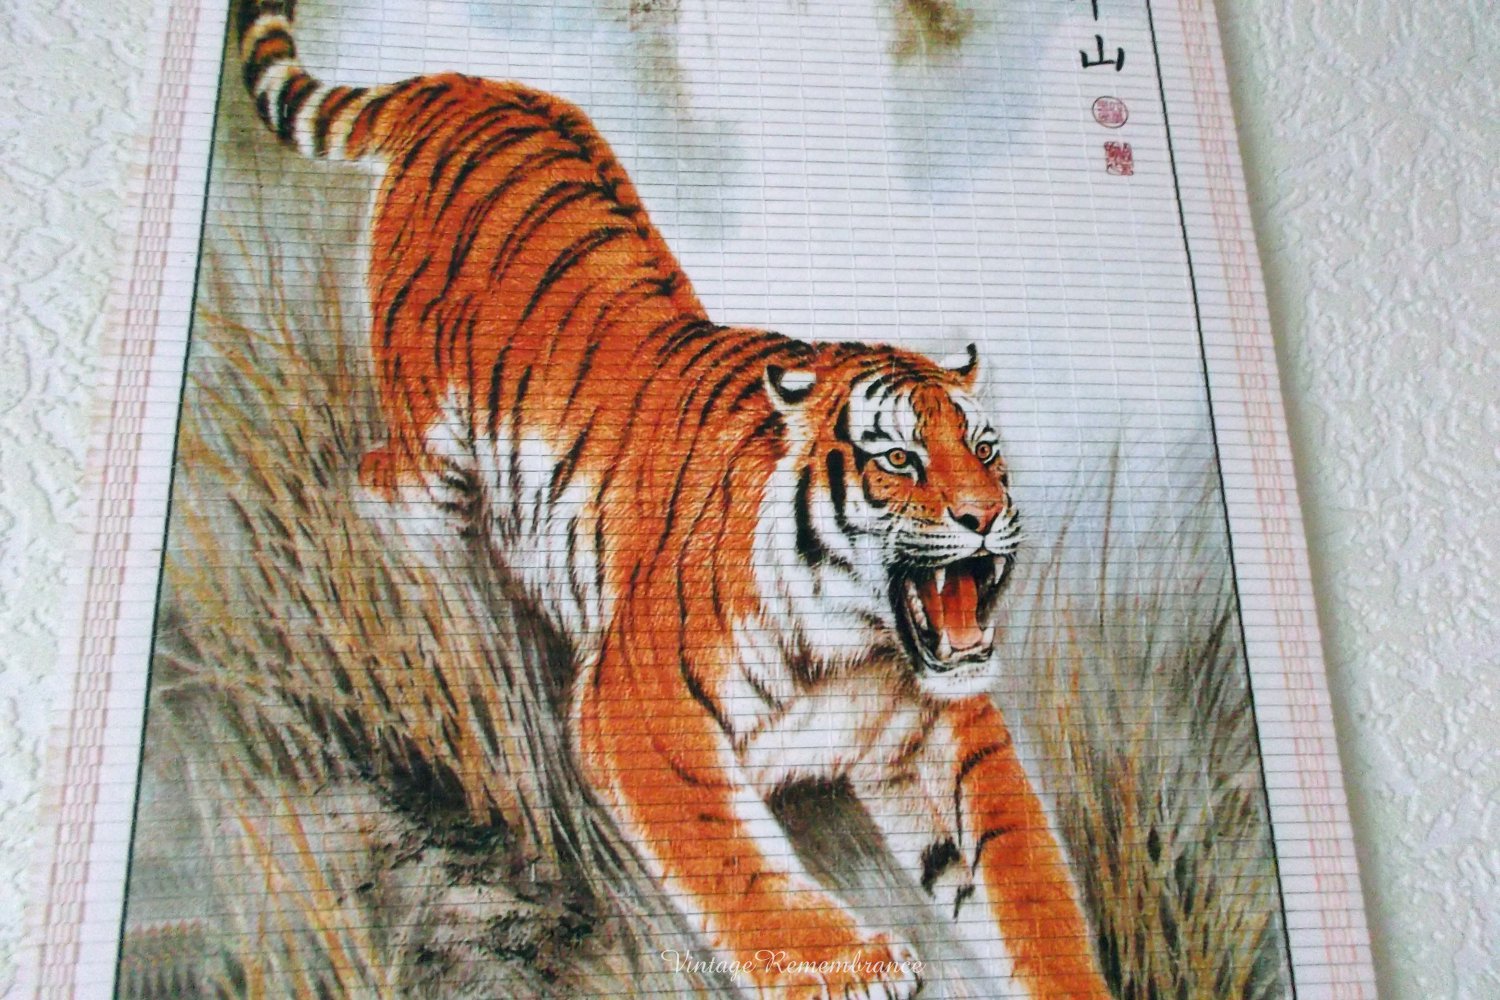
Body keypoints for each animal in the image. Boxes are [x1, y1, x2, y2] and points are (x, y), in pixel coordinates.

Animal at [235, 2, 1111, 997]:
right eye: (898, 459)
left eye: (987, 450)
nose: (986, 516)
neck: (856, 649)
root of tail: (476, 84)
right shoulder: (639, 710)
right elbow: (737, 862)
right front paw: (848, 964)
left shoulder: (950, 736)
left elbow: (1026, 878)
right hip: (432, 435)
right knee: (381, 484)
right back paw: (423, 593)